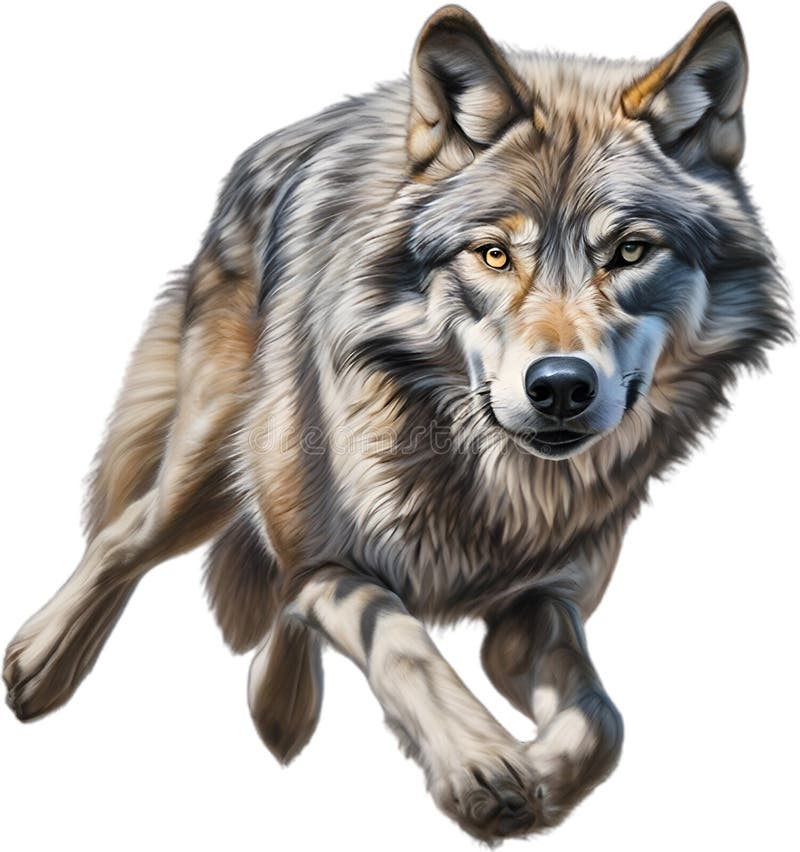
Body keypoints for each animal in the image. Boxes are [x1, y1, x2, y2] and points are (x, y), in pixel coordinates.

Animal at [3, 1, 790, 842]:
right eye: (493, 255)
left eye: (632, 250)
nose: (559, 387)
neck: (492, 484)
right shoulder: (337, 566)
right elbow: (403, 640)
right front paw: (482, 762)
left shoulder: (536, 603)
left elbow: (602, 724)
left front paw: (542, 776)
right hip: (209, 462)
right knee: (129, 534)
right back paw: (40, 664)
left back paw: (276, 704)